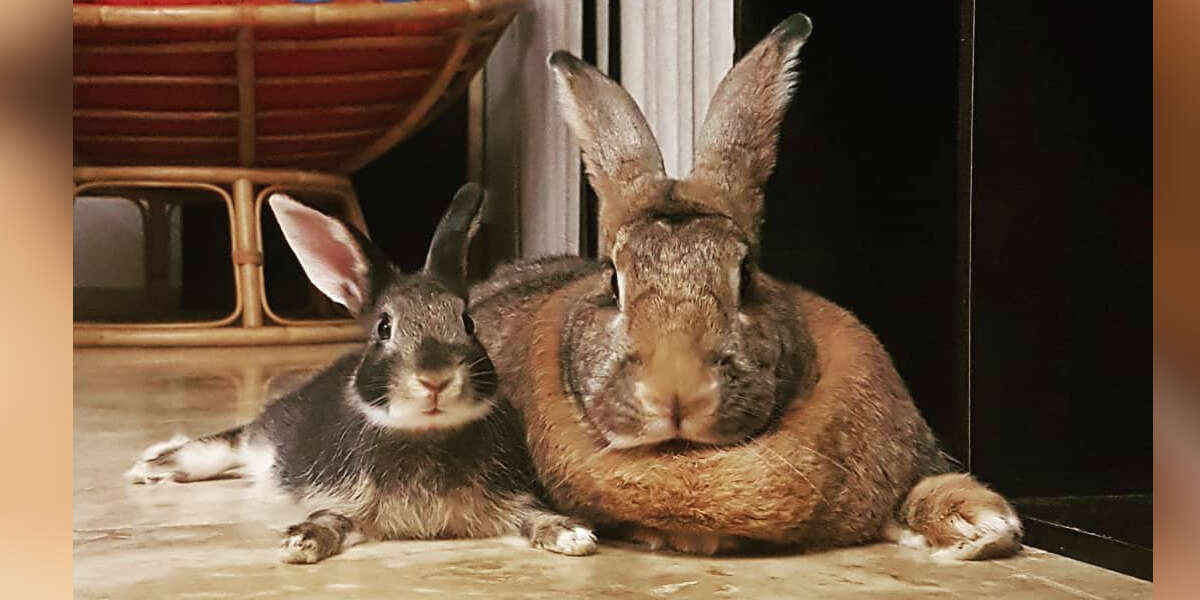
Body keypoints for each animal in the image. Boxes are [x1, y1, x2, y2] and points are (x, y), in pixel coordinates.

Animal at [125, 184, 597, 563]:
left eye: (468, 322)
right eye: (384, 327)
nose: (435, 380)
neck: (424, 434)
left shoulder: (508, 501)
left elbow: (532, 517)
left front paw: (572, 535)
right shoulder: (346, 502)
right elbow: (329, 518)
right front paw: (301, 543)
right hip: (270, 436)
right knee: (228, 443)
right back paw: (152, 466)